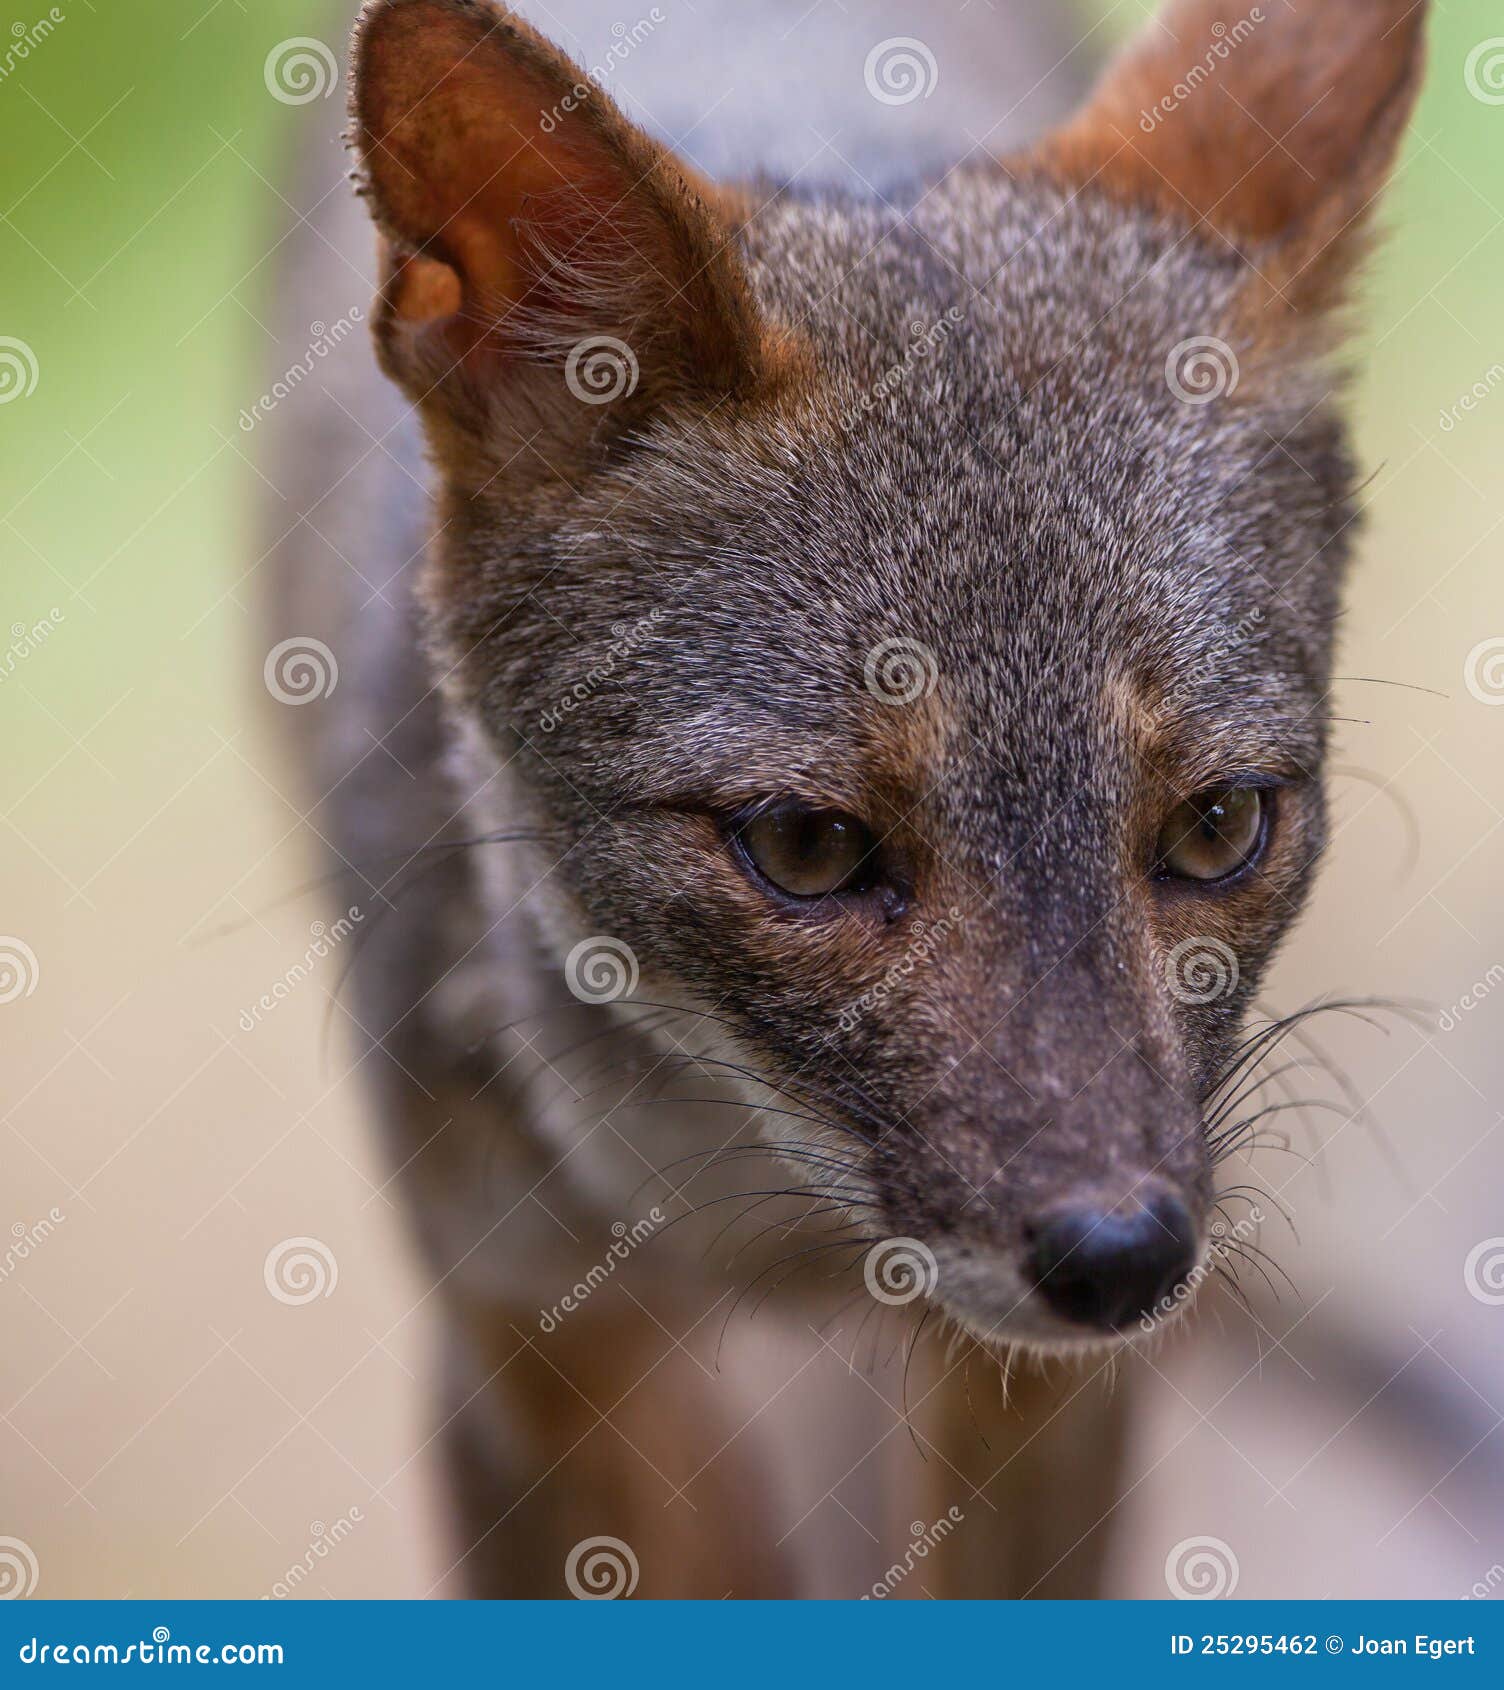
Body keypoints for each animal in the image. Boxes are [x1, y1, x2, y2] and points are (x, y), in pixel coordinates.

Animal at [264, 0, 1431, 1597]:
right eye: (809, 846)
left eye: (1217, 825)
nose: (1125, 1256)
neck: (757, 1226)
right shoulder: (525, 1345)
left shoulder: (1033, 1390)